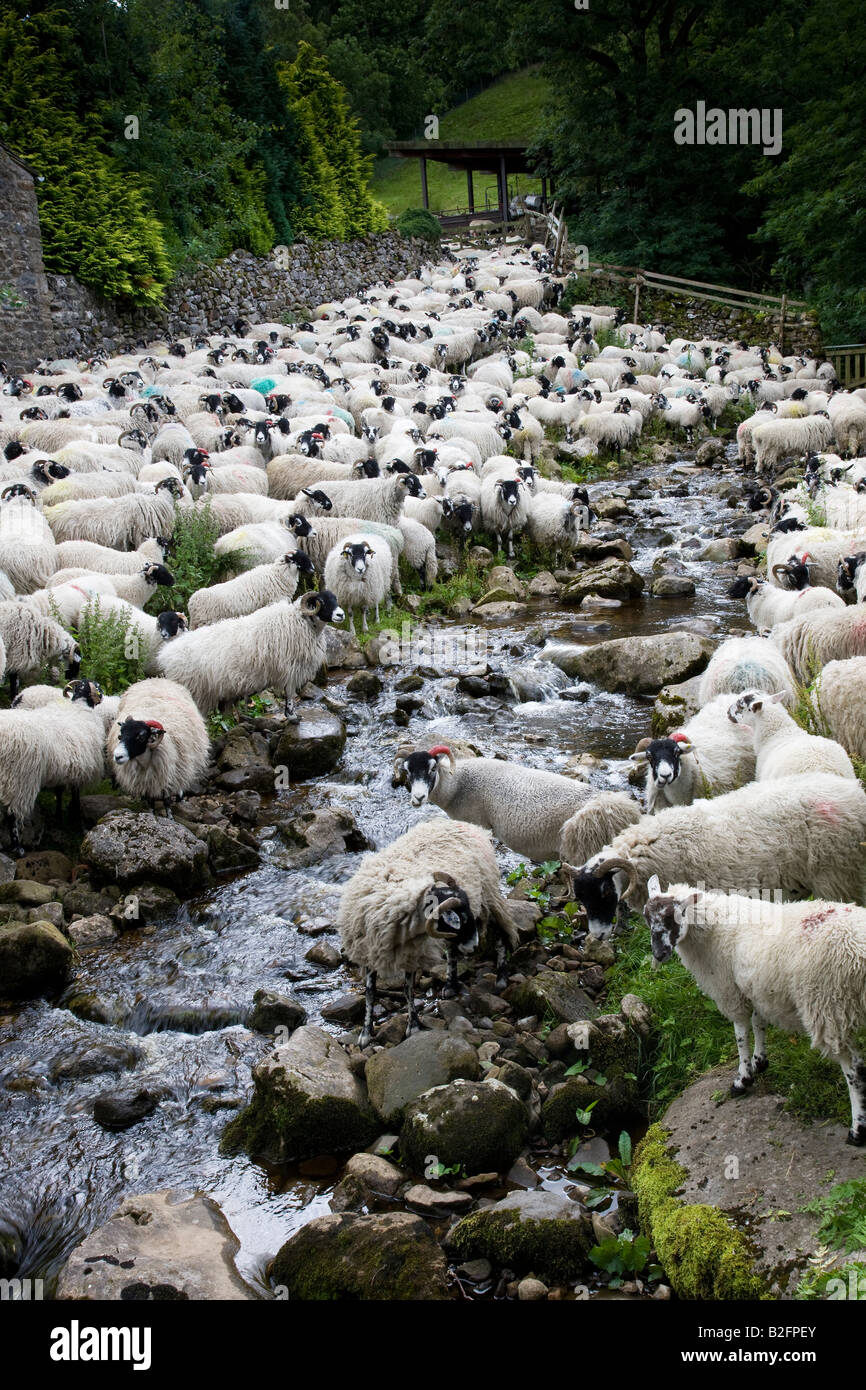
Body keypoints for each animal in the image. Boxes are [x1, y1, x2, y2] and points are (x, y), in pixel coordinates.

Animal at [107, 678, 210, 813]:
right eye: (120, 736)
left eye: (141, 737)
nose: (117, 756)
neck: (144, 760)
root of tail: (158, 679)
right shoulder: (146, 780)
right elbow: (150, 801)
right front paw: (151, 814)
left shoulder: (167, 774)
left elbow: (166, 800)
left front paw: (169, 816)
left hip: (183, 762)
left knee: (181, 781)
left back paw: (180, 797)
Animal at [153, 588, 345, 718]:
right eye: (322, 602)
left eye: (335, 599)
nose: (341, 615)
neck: (301, 622)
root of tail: (166, 654)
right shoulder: (291, 668)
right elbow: (290, 693)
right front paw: (292, 715)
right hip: (194, 689)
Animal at [338, 818, 520, 1046]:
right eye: (460, 919)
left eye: (467, 913)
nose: (474, 945)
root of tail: (467, 825)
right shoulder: (369, 951)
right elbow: (370, 993)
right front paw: (365, 1032)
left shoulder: (411, 952)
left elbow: (407, 990)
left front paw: (413, 1026)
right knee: (452, 949)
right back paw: (451, 984)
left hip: (488, 895)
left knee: (500, 932)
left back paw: (501, 977)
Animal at [643, 880, 866, 1142]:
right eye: (647, 918)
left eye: (675, 916)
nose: (659, 954)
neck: (713, 929)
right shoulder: (756, 988)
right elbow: (759, 1024)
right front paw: (760, 1061)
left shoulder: (729, 990)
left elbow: (741, 1035)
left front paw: (743, 1079)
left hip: (829, 1006)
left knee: (852, 1070)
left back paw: (857, 1129)